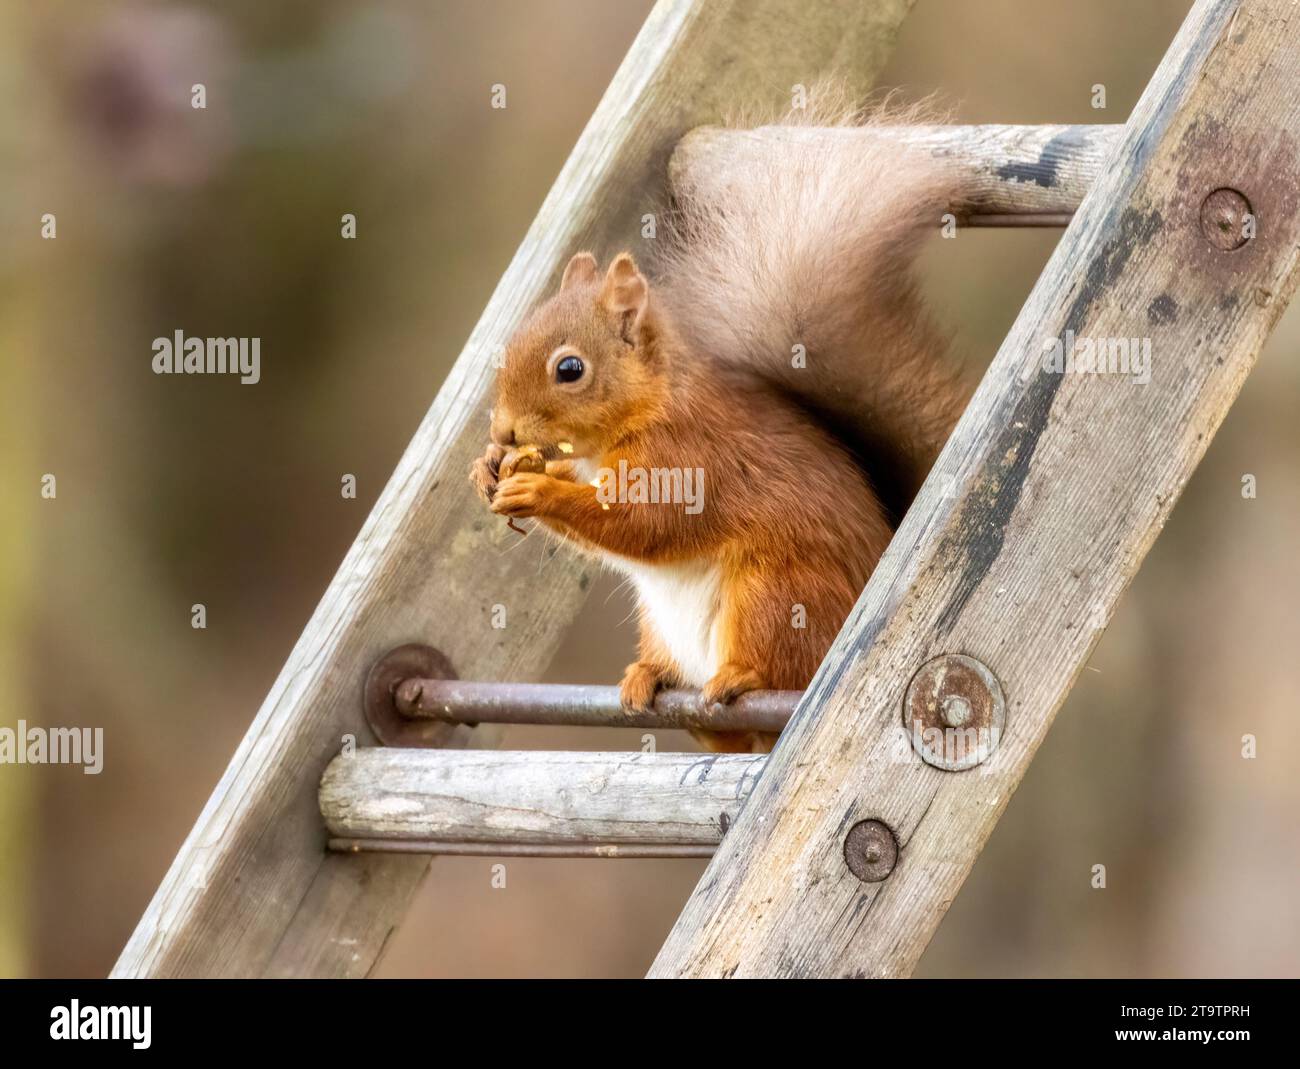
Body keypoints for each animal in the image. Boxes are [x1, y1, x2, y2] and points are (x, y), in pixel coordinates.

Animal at [470, 96, 968, 753]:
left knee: (778, 670)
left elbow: (643, 524)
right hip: (662, 622)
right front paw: (489, 469)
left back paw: (742, 675)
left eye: (569, 369)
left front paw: (536, 488)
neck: (648, 408)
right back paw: (649, 676)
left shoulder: (687, 459)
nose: (503, 433)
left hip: (774, 593)